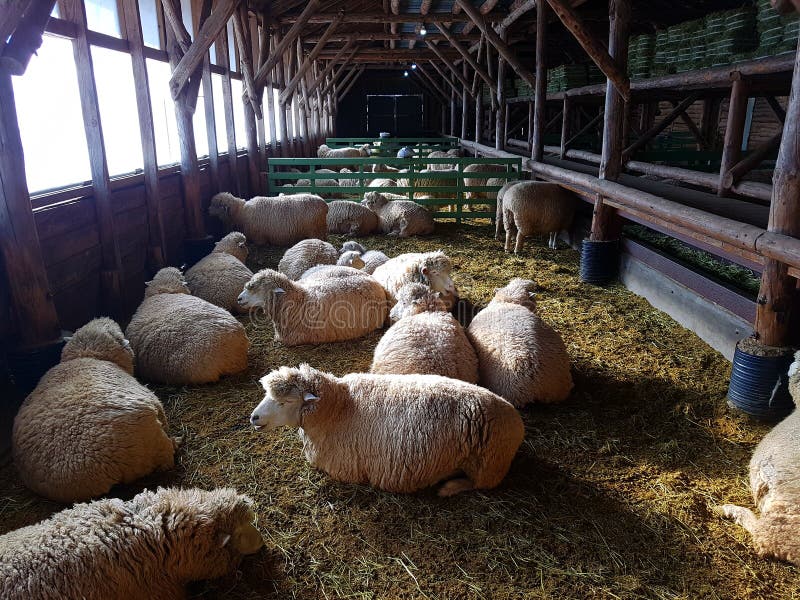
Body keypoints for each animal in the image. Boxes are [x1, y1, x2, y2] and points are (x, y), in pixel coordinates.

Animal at [250, 364, 524, 496]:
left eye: (286, 401)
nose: (254, 418)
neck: (338, 407)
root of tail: (515, 418)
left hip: (488, 464)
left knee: (480, 484)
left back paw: (448, 488)